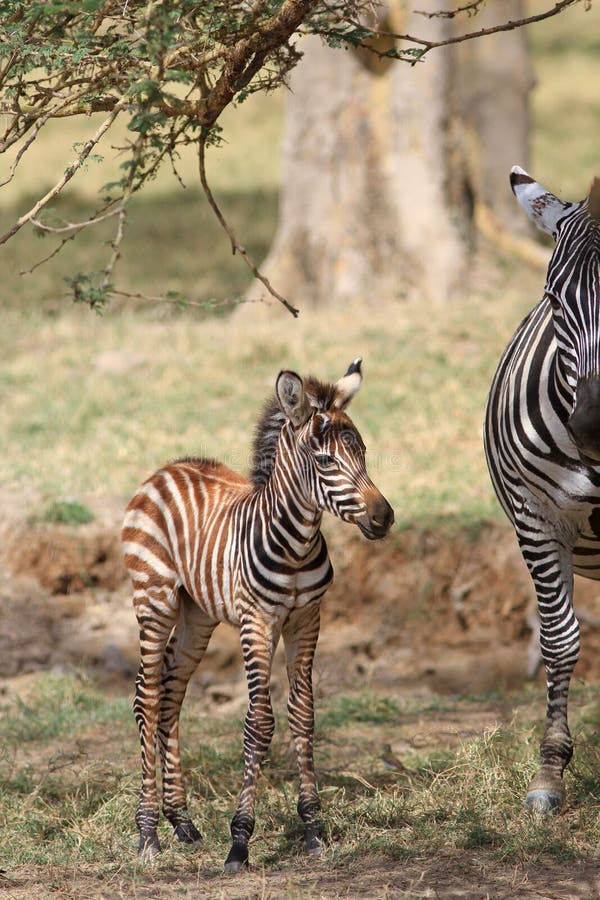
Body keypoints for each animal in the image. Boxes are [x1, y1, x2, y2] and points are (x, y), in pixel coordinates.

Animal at [122, 358, 394, 870]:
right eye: (325, 461)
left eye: (363, 452)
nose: (383, 518)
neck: (295, 545)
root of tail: (168, 468)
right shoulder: (258, 623)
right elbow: (259, 722)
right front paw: (240, 839)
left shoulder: (307, 619)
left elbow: (303, 715)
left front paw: (314, 830)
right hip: (155, 600)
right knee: (147, 698)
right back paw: (147, 834)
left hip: (196, 616)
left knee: (170, 695)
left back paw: (181, 821)